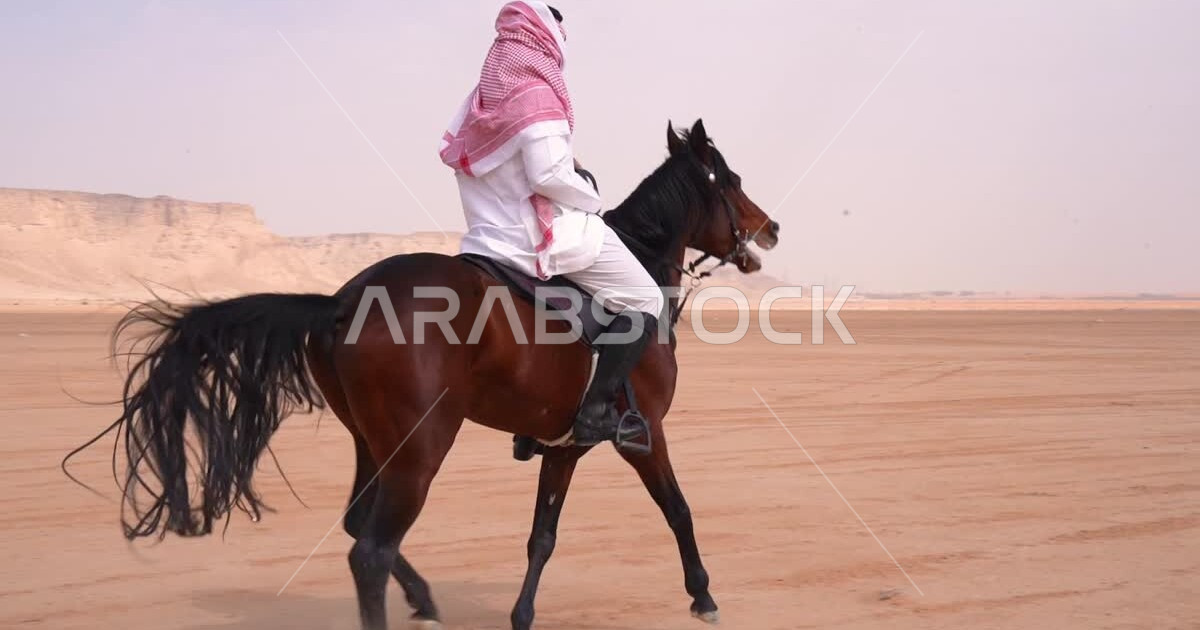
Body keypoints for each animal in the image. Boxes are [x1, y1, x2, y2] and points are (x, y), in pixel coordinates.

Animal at [73, 118, 781, 630]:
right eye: (730, 179)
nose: (771, 228)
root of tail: (342, 300)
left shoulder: (565, 446)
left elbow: (542, 536)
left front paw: (522, 615)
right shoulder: (644, 434)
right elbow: (679, 510)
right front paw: (703, 596)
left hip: (374, 441)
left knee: (359, 527)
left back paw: (424, 599)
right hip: (421, 446)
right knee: (370, 551)